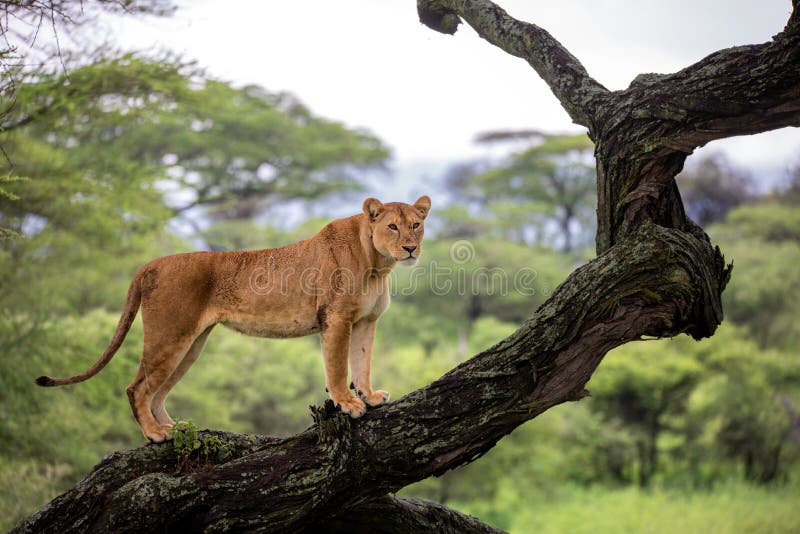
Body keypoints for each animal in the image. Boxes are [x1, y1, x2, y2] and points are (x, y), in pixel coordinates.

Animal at [36, 196, 431, 442]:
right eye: (393, 227)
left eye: (416, 224)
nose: (411, 247)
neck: (378, 263)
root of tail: (150, 264)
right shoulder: (335, 318)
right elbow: (337, 367)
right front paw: (348, 404)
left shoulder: (365, 322)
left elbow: (362, 364)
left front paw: (371, 396)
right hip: (170, 335)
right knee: (137, 388)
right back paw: (155, 434)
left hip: (192, 344)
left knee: (157, 391)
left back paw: (175, 428)